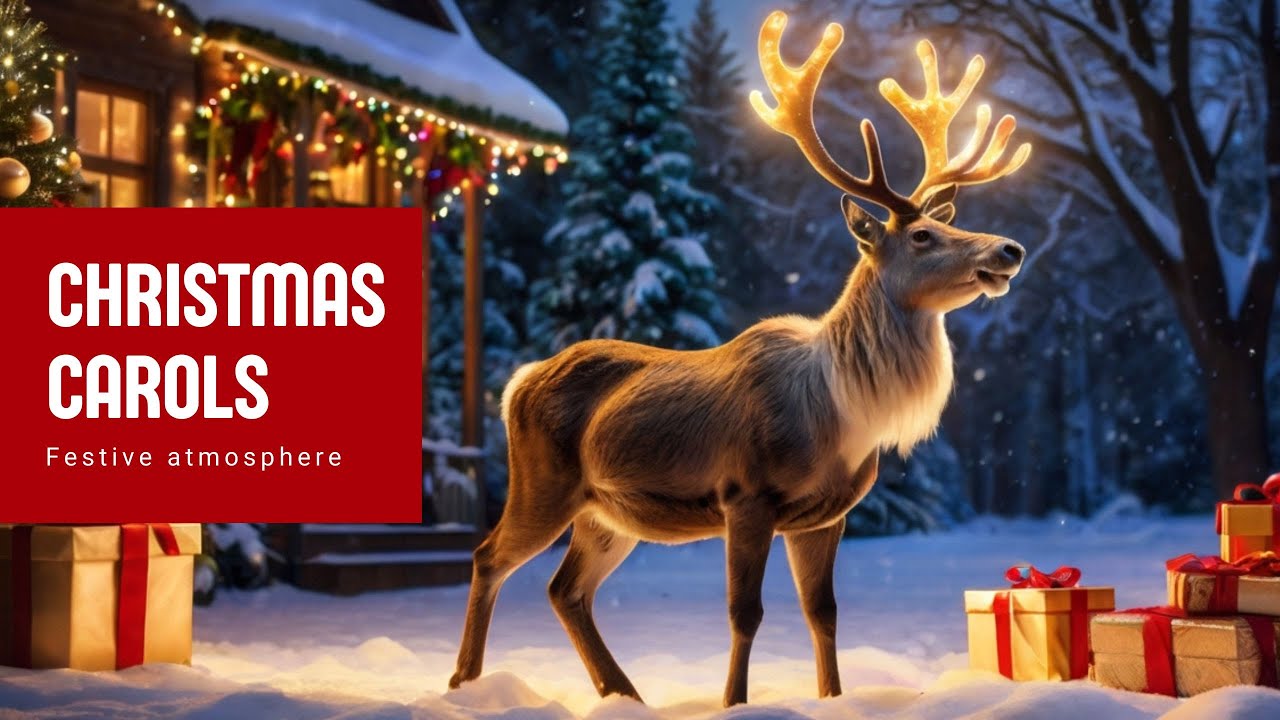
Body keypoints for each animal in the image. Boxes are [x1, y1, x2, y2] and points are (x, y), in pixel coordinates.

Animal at [450, 11, 1031, 708]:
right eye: (922, 235)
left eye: (951, 223)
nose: (1009, 249)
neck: (845, 412)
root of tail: (519, 382)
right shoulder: (746, 493)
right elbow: (745, 612)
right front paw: (734, 702)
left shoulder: (825, 516)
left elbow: (823, 612)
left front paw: (832, 699)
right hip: (544, 482)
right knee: (489, 556)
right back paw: (464, 683)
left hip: (608, 511)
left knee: (565, 588)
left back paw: (624, 694)